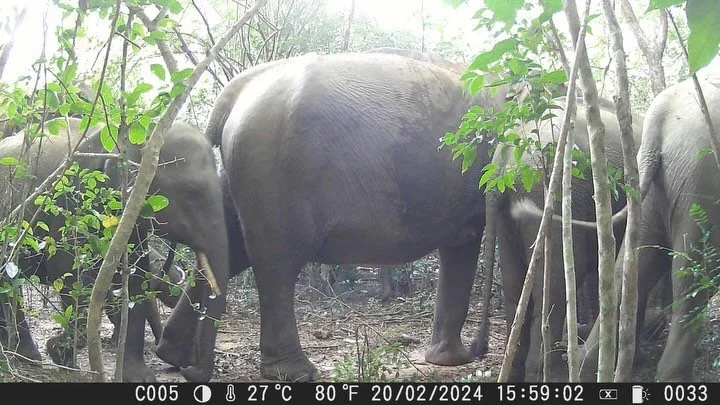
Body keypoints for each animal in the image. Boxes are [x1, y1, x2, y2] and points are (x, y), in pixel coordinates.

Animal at [0, 117, 229, 381]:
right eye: (191, 192)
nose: (187, 369)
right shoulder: (72, 206)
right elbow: (70, 274)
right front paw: (59, 353)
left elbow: (134, 281)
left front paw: (138, 377)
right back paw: (28, 356)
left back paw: (24, 355)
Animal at [154, 49, 510, 382]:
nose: (480, 349)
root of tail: (236, 92)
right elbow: (468, 243)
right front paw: (456, 360)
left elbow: (461, 244)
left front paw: (447, 360)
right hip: (273, 171)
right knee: (276, 261)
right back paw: (295, 372)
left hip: (242, 172)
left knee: (232, 250)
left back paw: (173, 356)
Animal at [475, 96, 643, 382]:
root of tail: (501, 163)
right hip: (551, 196)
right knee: (554, 287)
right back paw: (546, 372)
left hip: (506, 214)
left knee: (514, 284)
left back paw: (516, 371)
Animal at [578, 74, 720, 381]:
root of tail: (659, 120)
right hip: (701, 177)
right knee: (692, 273)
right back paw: (675, 377)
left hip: (655, 189)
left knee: (630, 264)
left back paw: (589, 365)